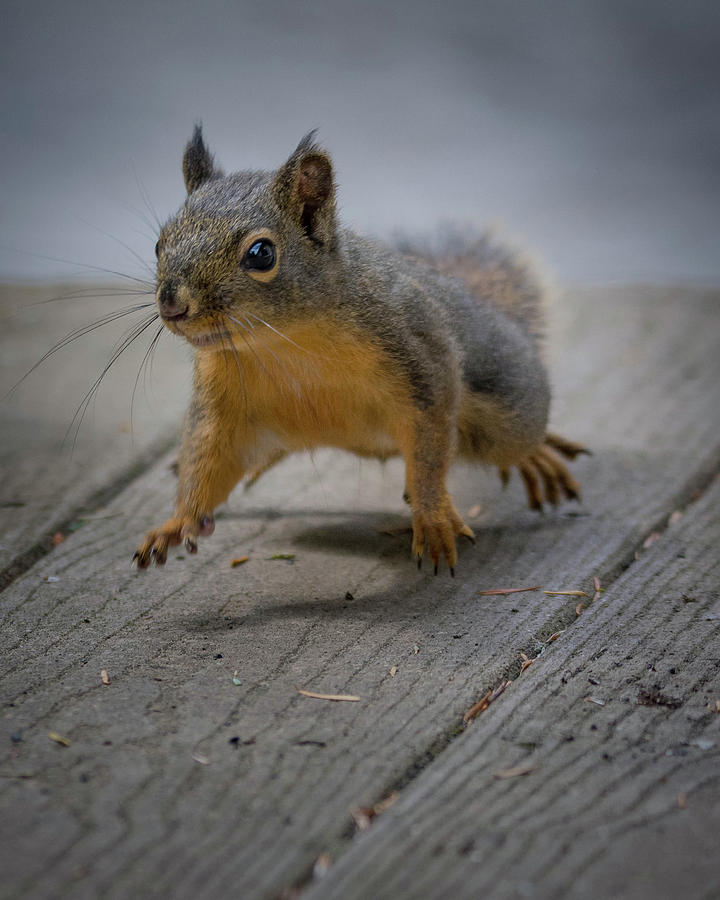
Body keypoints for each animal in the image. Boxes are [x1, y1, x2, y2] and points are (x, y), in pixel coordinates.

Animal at [134, 126, 588, 574]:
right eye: (158, 244)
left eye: (261, 254)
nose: (172, 304)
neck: (282, 340)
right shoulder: (224, 405)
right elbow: (207, 459)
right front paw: (176, 523)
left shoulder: (425, 362)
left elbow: (429, 455)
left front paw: (432, 517)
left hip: (510, 411)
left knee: (511, 439)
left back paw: (539, 455)